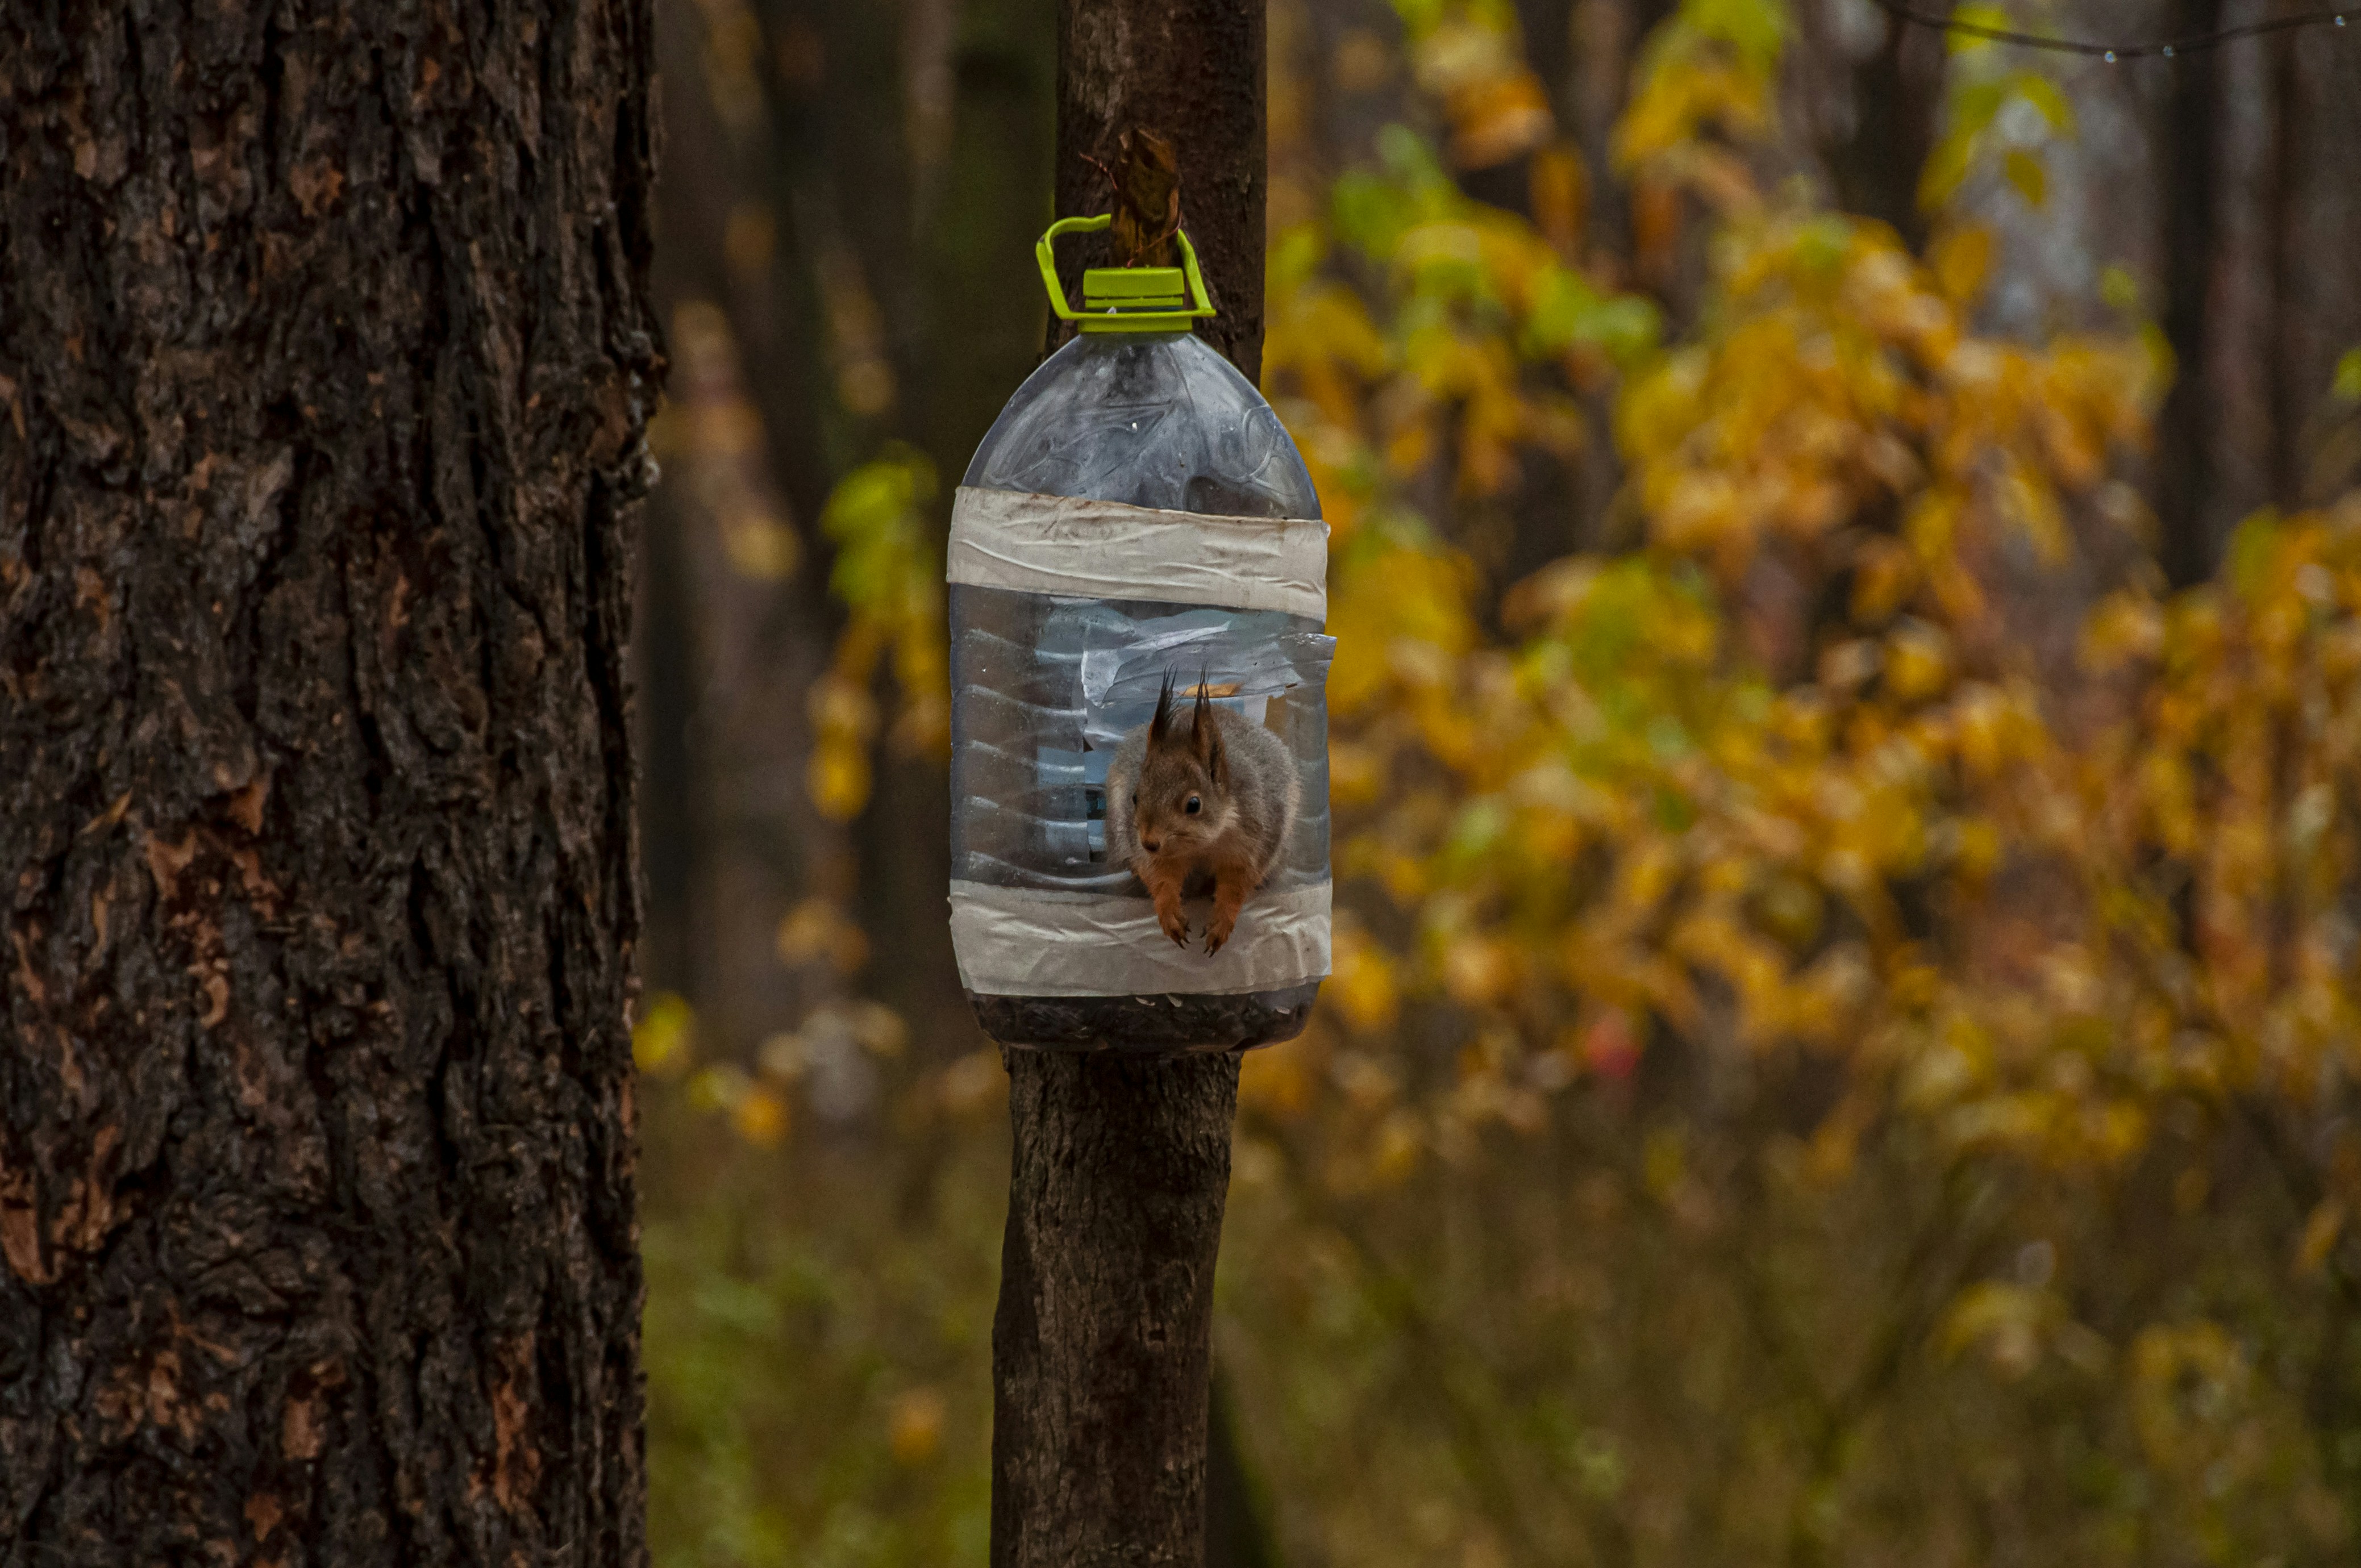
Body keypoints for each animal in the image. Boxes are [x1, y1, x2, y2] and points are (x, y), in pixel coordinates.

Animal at [1105, 671, 1300, 955]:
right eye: (1135, 797)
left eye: (1194, 804)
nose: (1149, 843)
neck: (1203, 845)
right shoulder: (1158, 858)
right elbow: (1162, 880)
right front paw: (1169, 914)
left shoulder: (1252, 846)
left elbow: (1236, 886)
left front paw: (1222, 921)